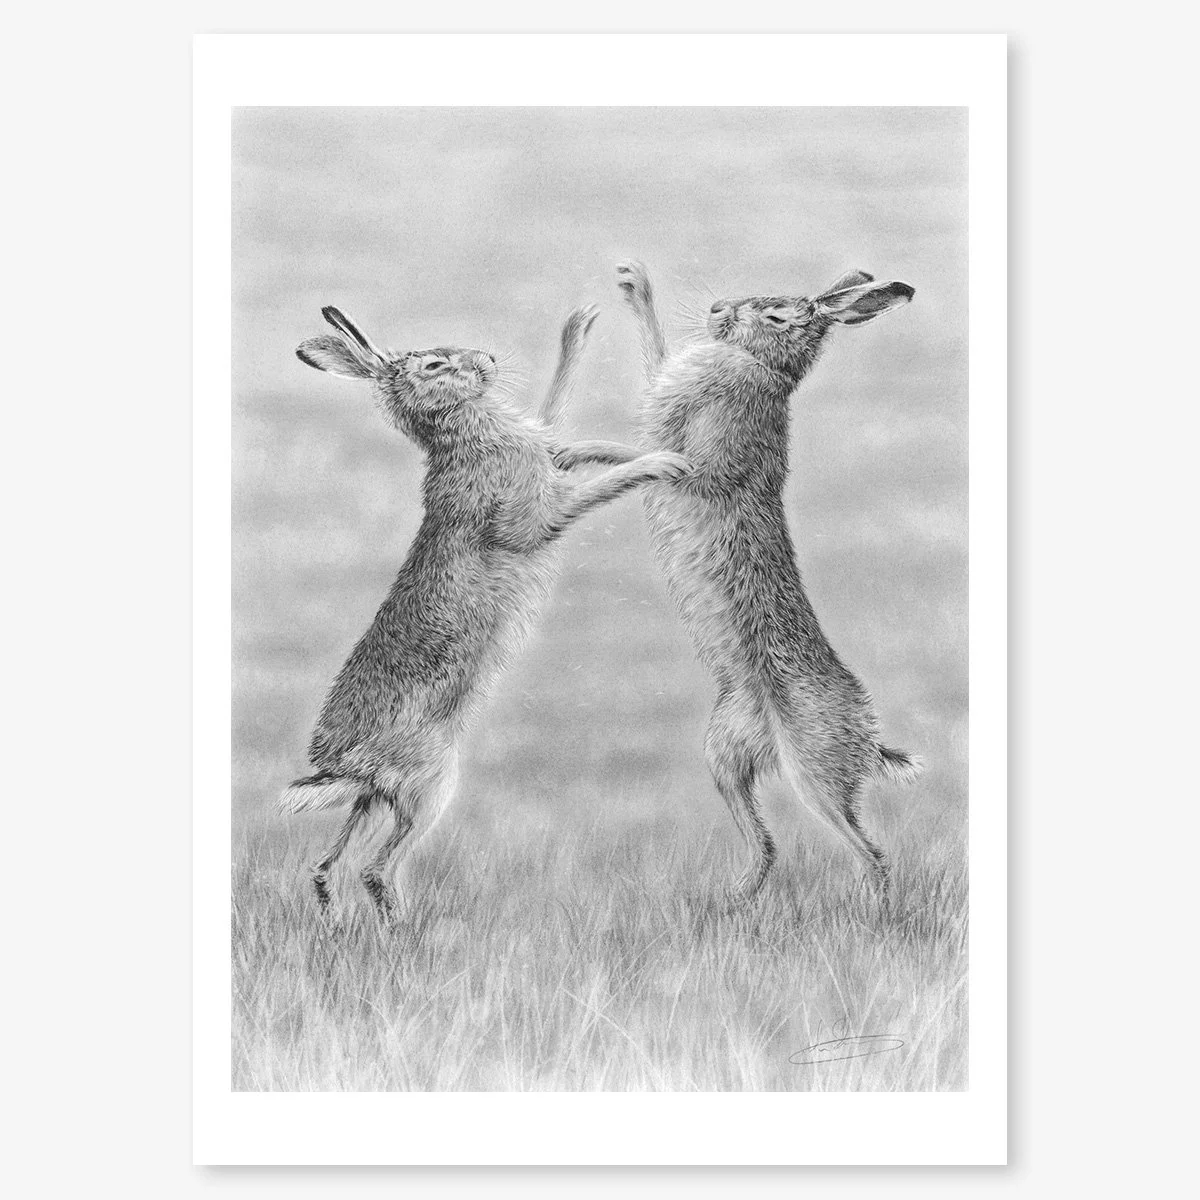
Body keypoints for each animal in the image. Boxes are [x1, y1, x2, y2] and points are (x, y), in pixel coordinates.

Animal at [279, 303, 690, 917]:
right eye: (434, 364)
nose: (488, 359)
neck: (460, 431)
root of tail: (344, 766)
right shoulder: (538, 517)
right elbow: (592, 491)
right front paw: (668, 462)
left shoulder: (546, 454)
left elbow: (564, 427)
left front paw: (581, 326)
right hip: (431, 785)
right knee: (376, 869)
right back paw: (404, 932)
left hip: (376, 800)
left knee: (329, 867)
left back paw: (339, 929)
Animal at [615, 260, 920, 902]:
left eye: (778, 315)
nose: (717, 310)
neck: (762, 367)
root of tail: (866, 735)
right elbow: (654, 353)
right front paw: (632, 281)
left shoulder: (702, 461)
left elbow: (665, 463)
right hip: (723, 750)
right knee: (767, 845)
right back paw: (730, 901)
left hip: (813, 766)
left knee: (869, 852)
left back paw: (869, 911)